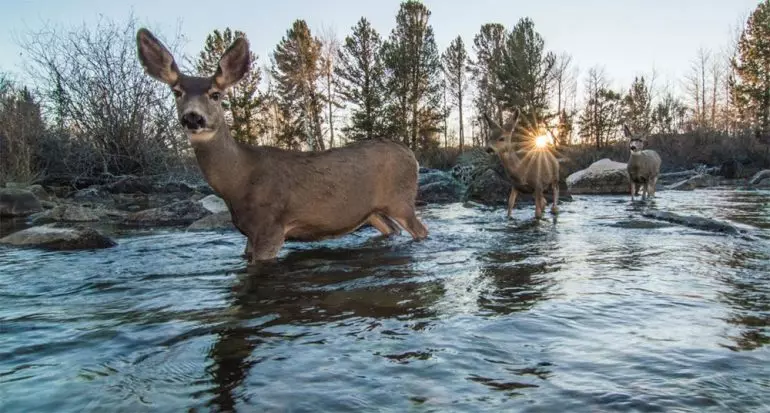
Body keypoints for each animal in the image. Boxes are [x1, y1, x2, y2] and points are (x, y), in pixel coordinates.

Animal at [135, 28, 428, 264]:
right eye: (177, 92)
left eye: (215, 94)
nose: (193, 117)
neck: (238, 180)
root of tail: (411, 155)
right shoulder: (248, 233)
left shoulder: (270, 226)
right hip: (370, 212)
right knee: (392, 229)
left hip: (400, 200)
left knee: (420, 231)